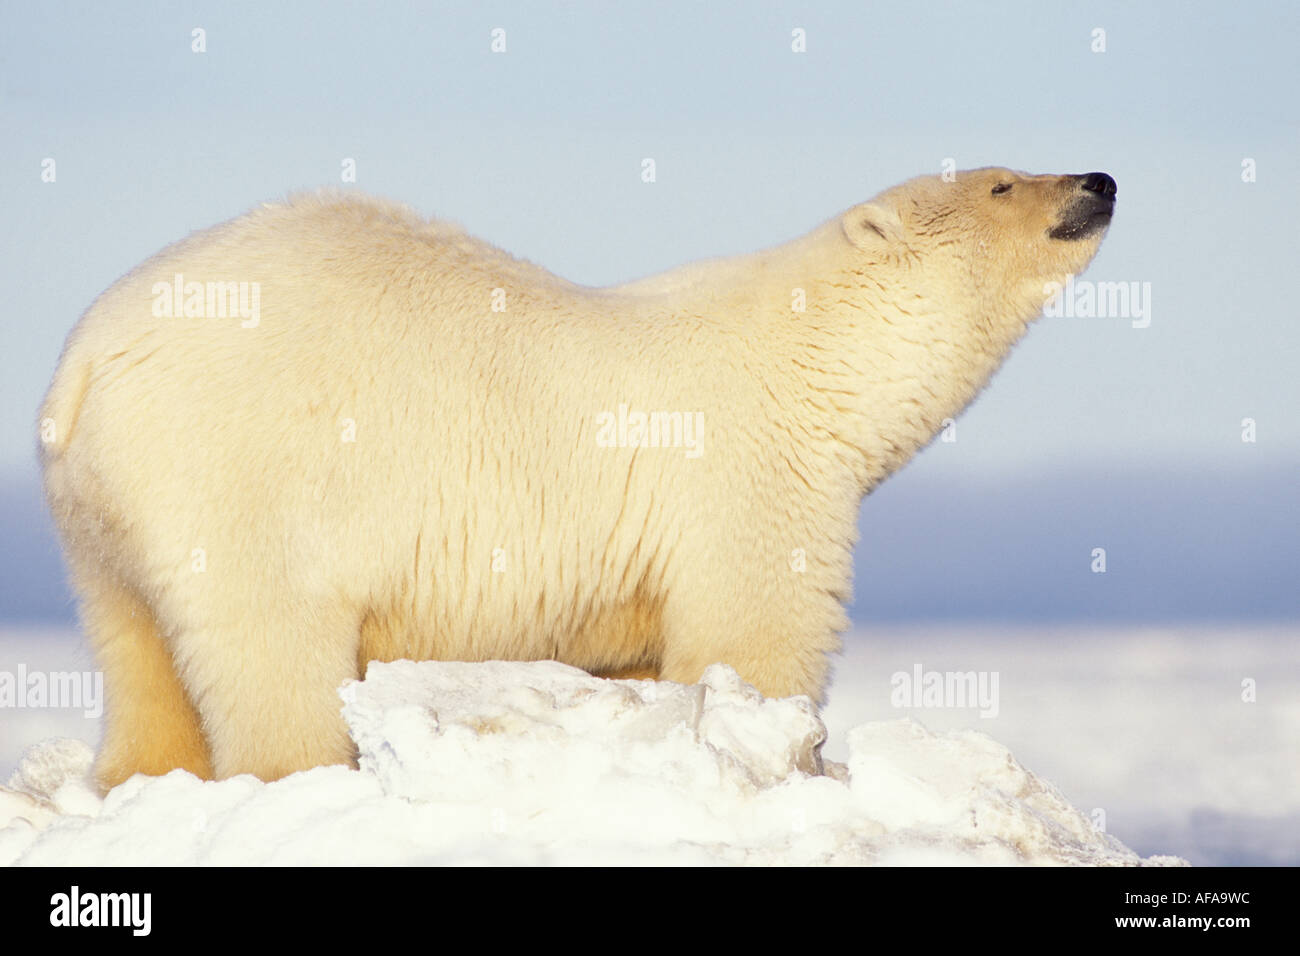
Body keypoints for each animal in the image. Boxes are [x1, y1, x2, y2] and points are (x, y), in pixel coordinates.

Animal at [38, 167, 1116, 788]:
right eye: (1002, 186)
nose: (1099, 178)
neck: (816, 360)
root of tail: (87, 358)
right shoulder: (750, 476)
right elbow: (757, 634)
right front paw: (787, 758)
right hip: (241, 474)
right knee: (271, 649)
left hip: (106, 517)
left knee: (141, 654)